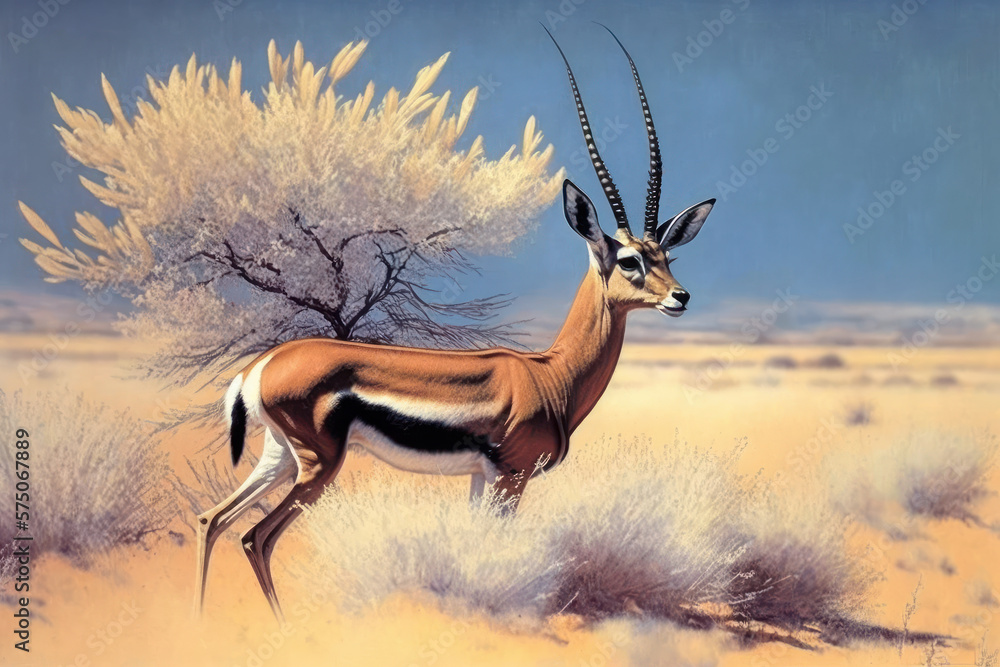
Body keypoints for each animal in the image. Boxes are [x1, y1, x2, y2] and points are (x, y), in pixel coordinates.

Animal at [194, 26, 716, 621]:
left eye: (667, 256)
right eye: (629, 260)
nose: (680, 297)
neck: (549, 375)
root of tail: (260, 365)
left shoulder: (478, 479)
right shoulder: (511, 479)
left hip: (279, 458)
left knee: (213, 520)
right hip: (317, 467)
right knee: (255, 536)